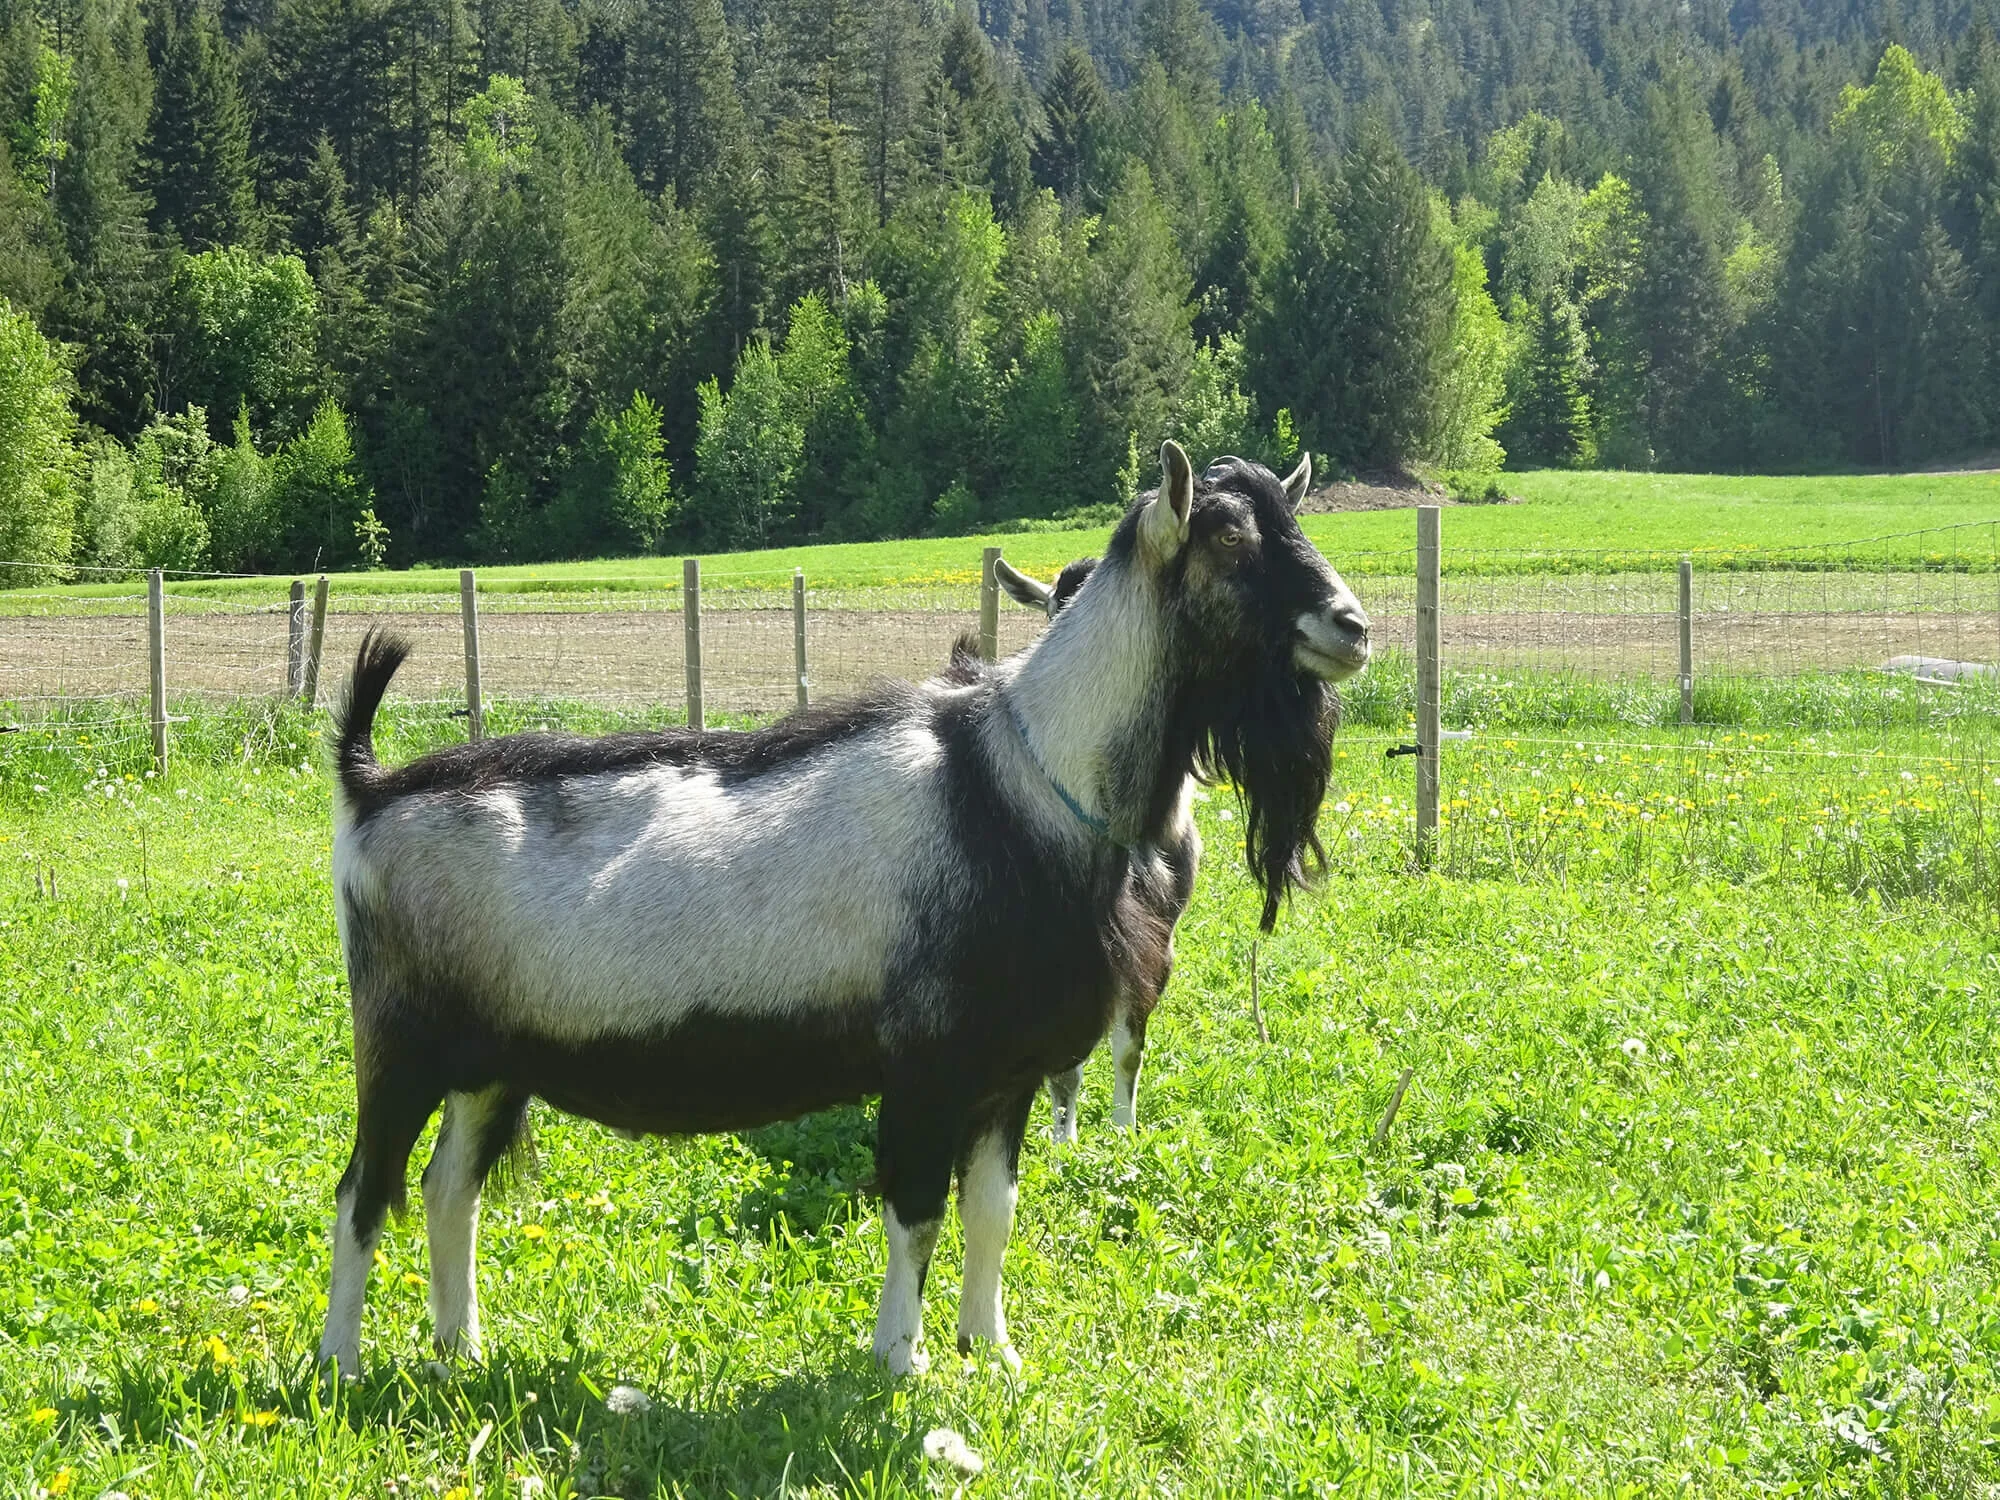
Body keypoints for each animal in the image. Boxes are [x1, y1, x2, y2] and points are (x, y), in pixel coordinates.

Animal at [314, 443, 1370, 1381]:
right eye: (1226, 535)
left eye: (1293, 515)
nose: (1352, 625)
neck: (1030, 777)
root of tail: (369, 792)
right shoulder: (929, 1063)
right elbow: (917, 1211)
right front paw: (901, 1360)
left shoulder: (1008, 1074)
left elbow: (993, 1212)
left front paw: (993, 1352)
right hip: (400, 1040)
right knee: (364, 1191)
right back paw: (342, 1366)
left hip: (490, 1063)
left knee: (449, 1192)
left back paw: (461, 1350)